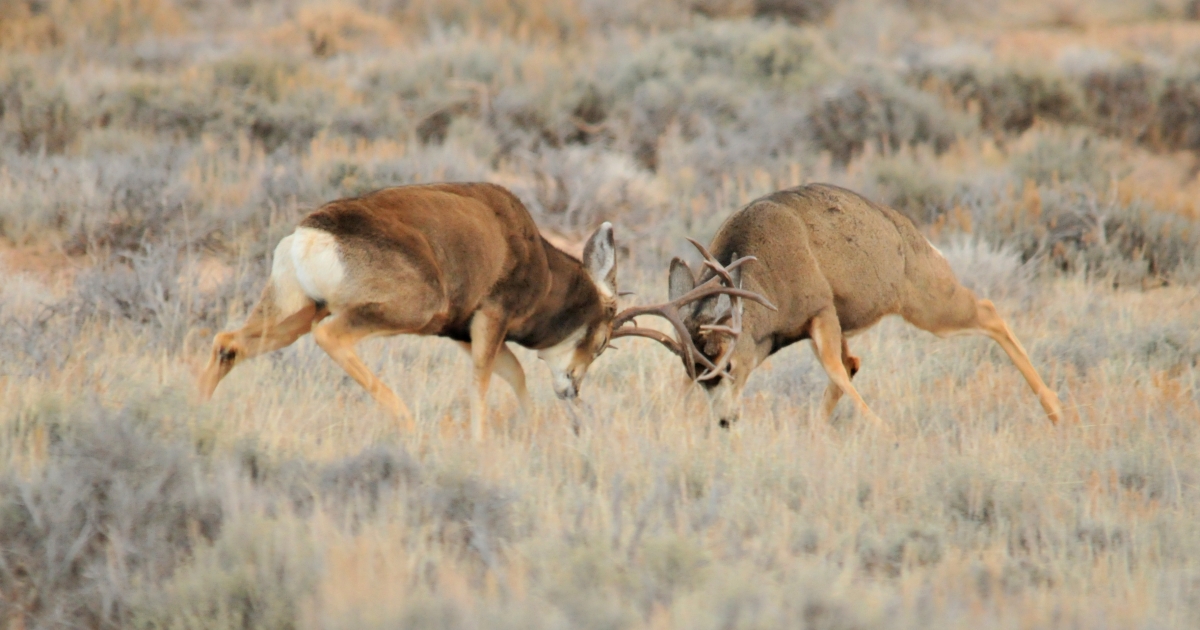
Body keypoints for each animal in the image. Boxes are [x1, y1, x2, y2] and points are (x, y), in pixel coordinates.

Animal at [197, 182, 756, 441]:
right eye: (600, 342)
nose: (572, 389)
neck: (533, 255)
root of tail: (312, 233)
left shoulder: (464, 332)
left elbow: (515, 376)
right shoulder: (490, 318)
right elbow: (485, 381)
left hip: (294, 311)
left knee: (228, 342)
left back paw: (196, 414)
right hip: (400, 308)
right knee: (333, 337)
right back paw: (406, 421)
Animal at [613, 183, 1064, 428]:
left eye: (728, 367)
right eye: (697, 375)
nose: (725, 421)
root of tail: (908, 228)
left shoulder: (822, 309)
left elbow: (836, 369)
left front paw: (887, 432)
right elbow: (845, 368)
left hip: (926, 299)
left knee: (988, 311)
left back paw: (1059, 412)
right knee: (855, 363)